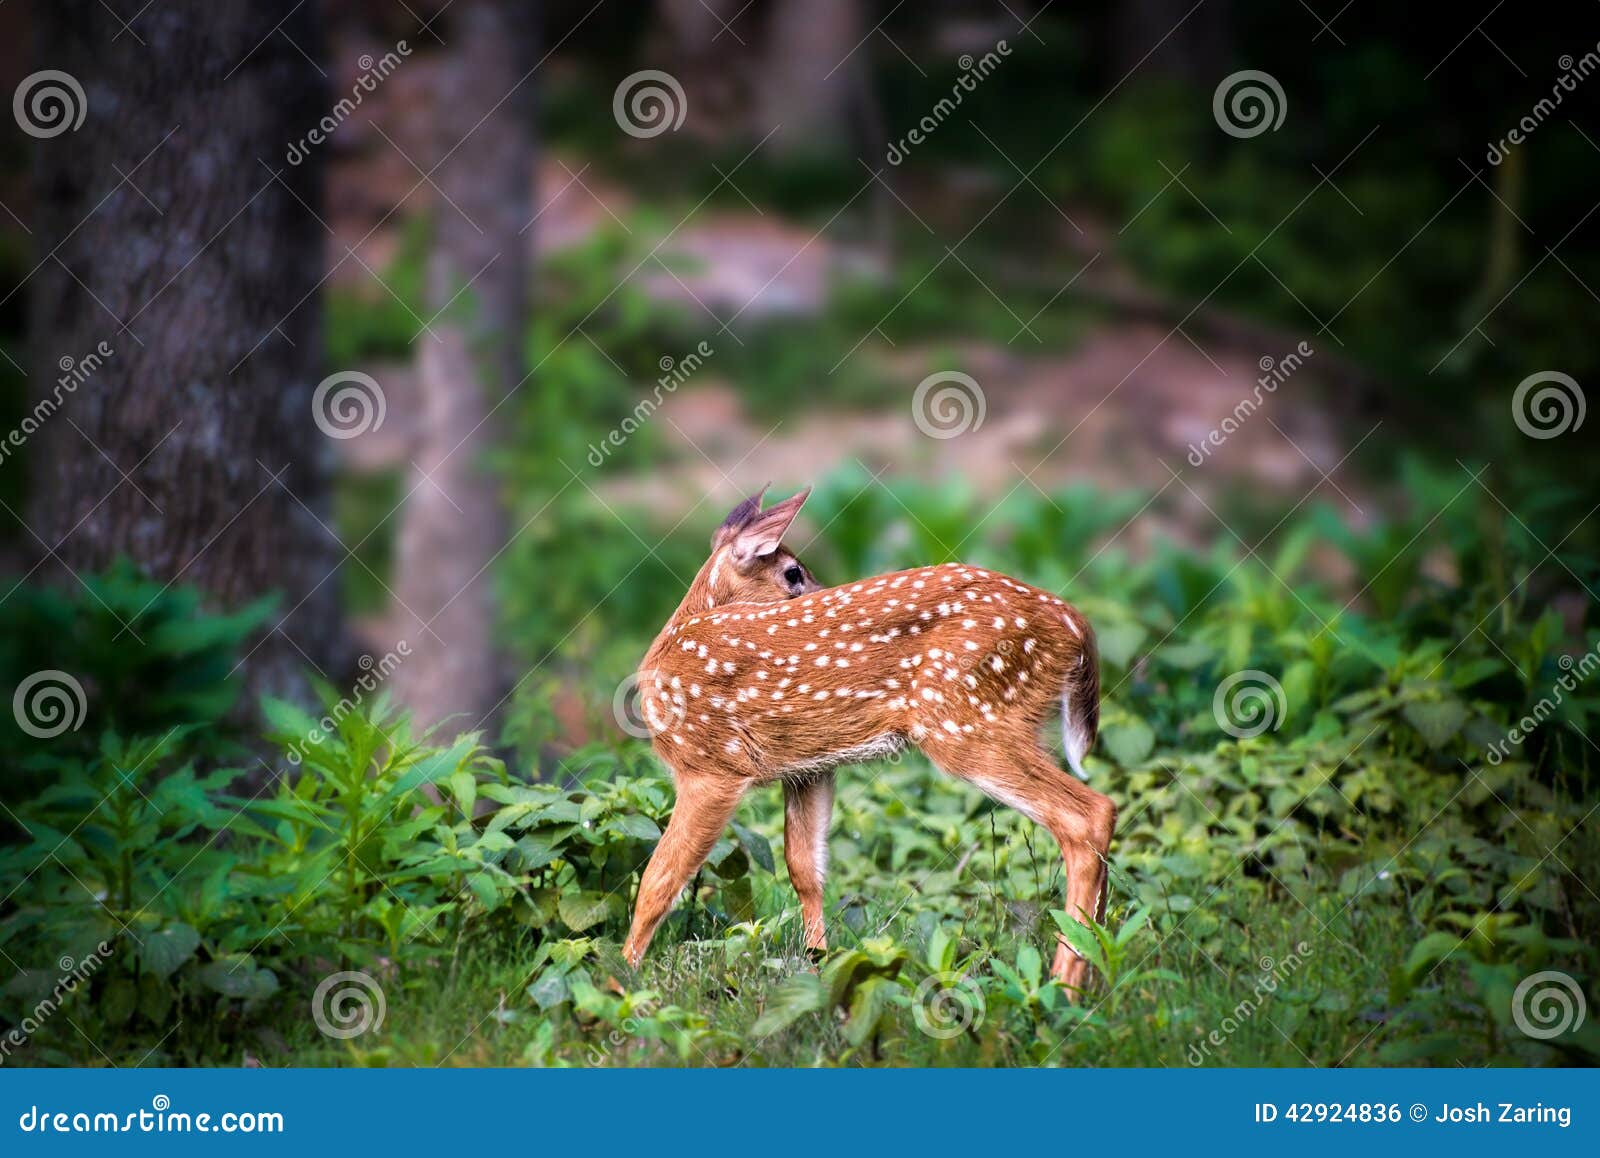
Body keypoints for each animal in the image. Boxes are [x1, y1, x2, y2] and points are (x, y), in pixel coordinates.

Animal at [622, 486, 1115, 992]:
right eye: (793, 572)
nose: (820, 590)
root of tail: (1074, 623)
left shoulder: (712, 764)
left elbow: (658, 879)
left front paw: (622, 976)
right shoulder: (808, 769)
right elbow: (804, 869)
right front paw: (817, 966)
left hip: (969, 719)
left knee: (1088, 814)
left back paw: (1065, 982)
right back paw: (1097, 969)